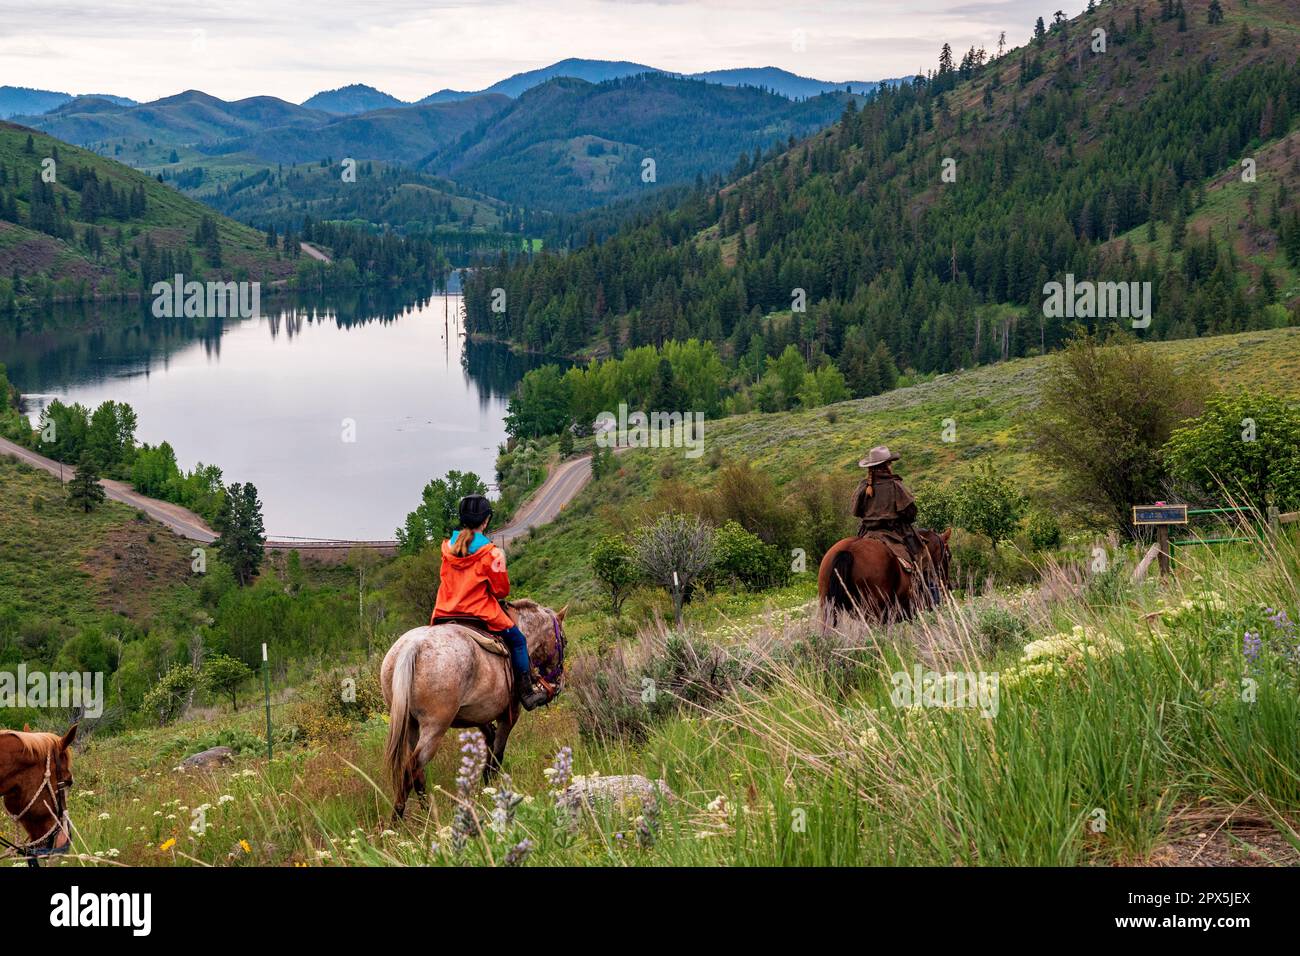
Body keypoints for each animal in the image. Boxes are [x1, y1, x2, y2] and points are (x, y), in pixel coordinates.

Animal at [380, 599, 566, 818]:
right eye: (564, 641)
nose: (558, 683)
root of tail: (412, 646)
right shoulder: (509, 715)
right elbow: (497, 754)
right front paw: (491, 790)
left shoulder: (480, 716)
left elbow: (490, 744)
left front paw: (485, 788)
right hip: (435, 727)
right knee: (413, 766)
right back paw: (400, 820)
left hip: (410, 725)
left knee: (416, 773)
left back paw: (425, 814)